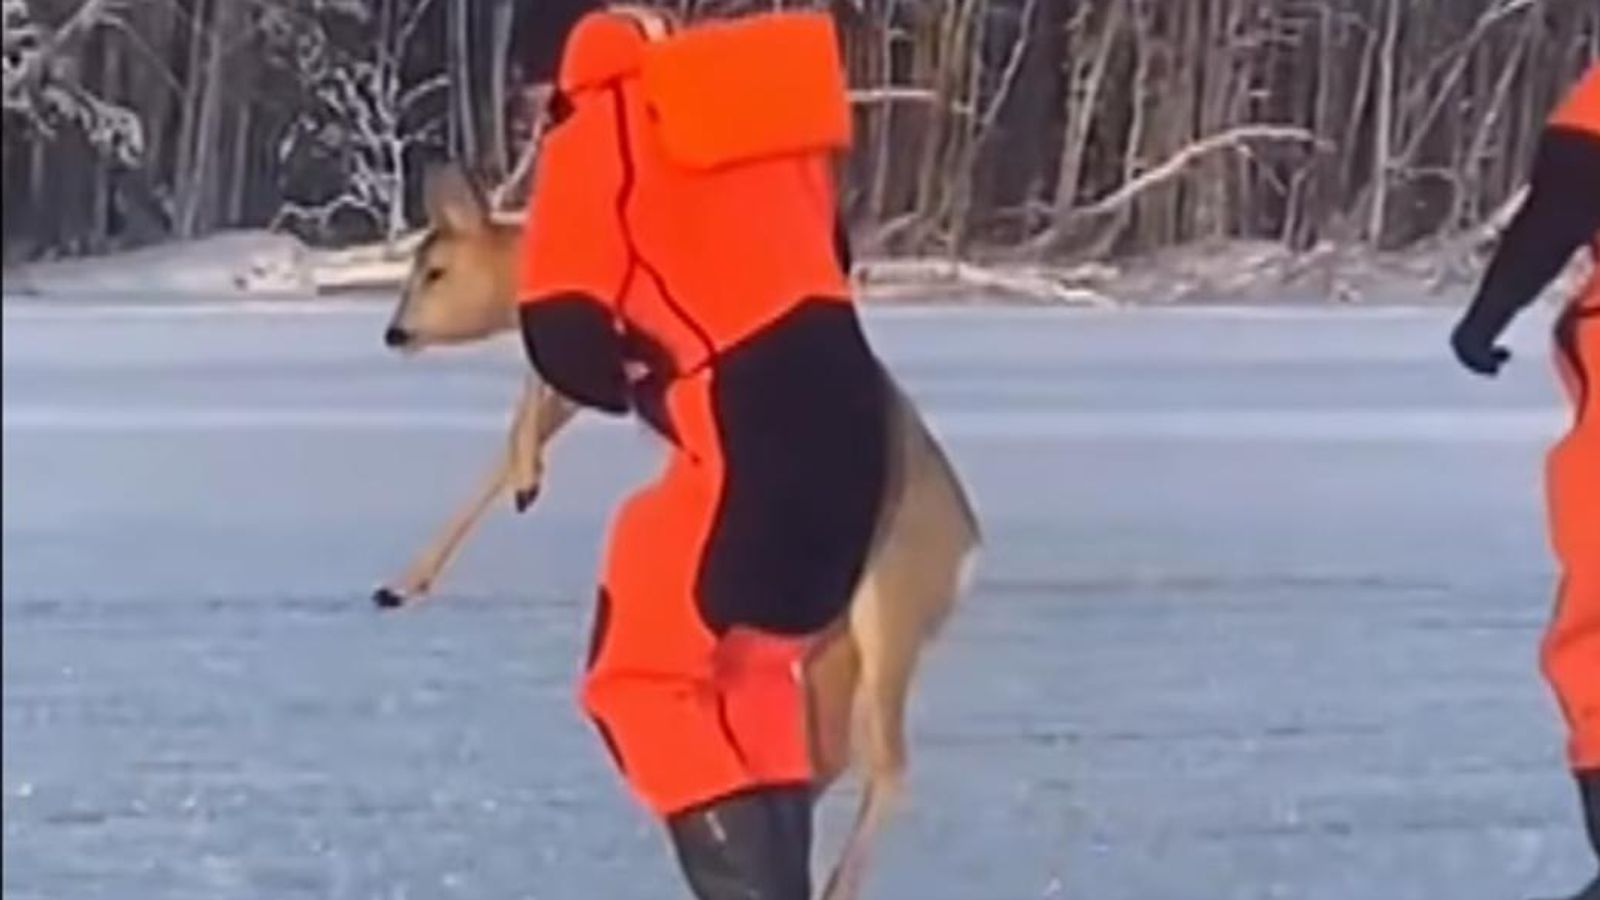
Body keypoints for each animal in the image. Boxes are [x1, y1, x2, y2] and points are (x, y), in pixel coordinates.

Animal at [372, 163, 981, 900]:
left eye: (434, 270)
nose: (395, 333)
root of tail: (969, 549)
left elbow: (533, 403)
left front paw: (525, 480)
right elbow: (526, 423)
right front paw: (404, 581)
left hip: (891, 611)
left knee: (890, 762)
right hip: (829, 644)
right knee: (830, 751)